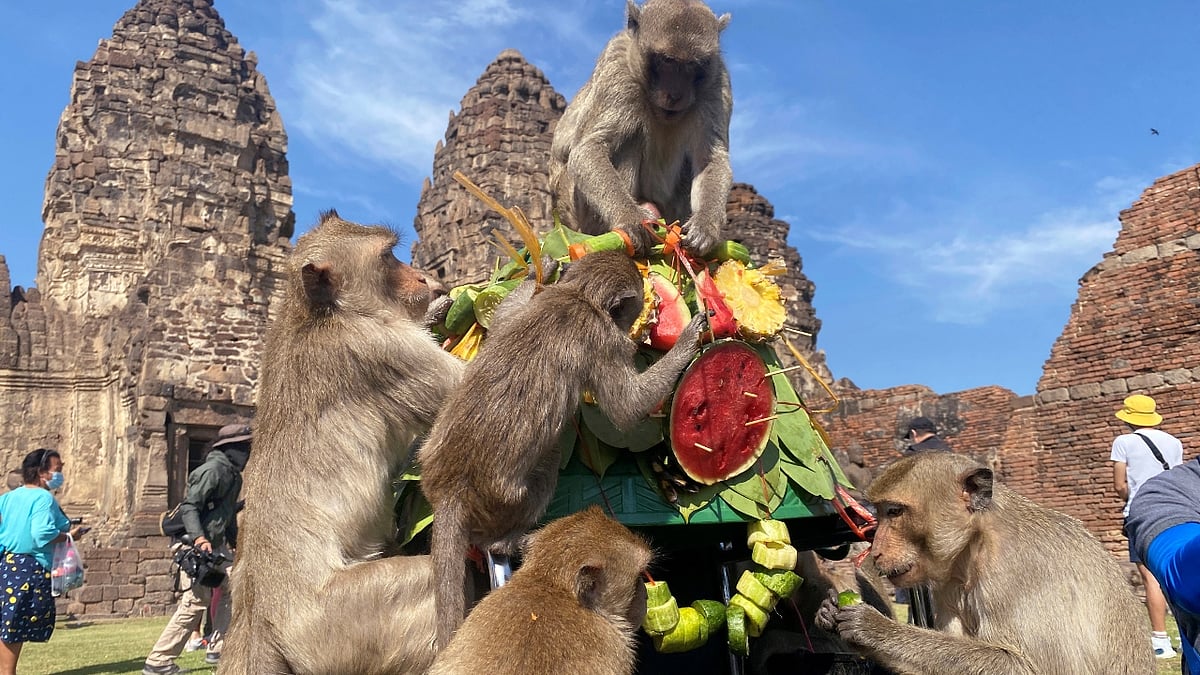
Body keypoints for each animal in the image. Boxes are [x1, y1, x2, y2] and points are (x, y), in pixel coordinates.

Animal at [221, 212, 466, 675]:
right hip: (341, 623)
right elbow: (472, 388)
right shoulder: (380, 348)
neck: (317, 312)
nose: (425, 278)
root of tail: (255, 613)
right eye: (388, 258)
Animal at [419, 250, 705, 649]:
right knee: (548, 463)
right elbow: (626, 408)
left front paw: (542, 268)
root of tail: (449, 489)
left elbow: (502, 322)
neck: (579, 295)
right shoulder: (602, 338)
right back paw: (504, 542)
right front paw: (687, 341)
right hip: (503, 500)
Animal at [549, 0, 733, 257]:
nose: (675, 94)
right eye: (667, 60)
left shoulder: (717, 80)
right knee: (629, 139)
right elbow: (588, 148)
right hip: (577, 208)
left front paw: (706, 226)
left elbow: (709, 159)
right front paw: (632, 219)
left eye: (692, 65)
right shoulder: (617, 66)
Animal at [815, 451, 1154, 675]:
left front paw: (875, 629)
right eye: (881, 511)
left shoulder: (1018, 572)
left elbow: (1033, 667)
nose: (875, 550)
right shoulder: (947, 581)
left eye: (894, 512)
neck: (975, 543)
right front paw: (831, 611)